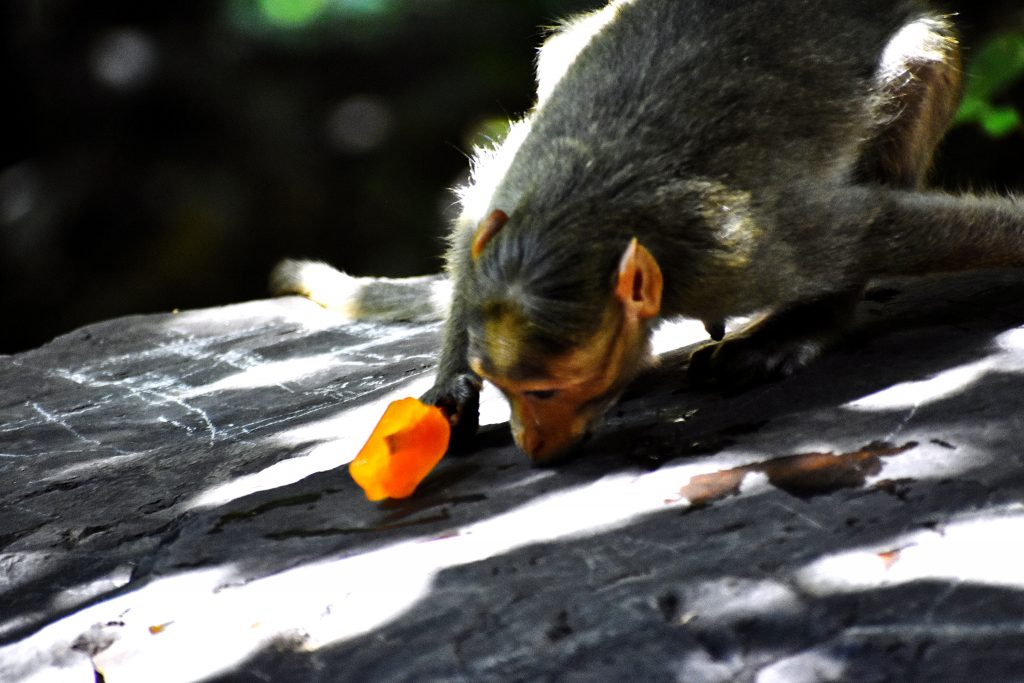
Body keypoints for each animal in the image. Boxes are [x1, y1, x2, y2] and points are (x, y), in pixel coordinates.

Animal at [275, 0, 1024, 464]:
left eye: (544, 392)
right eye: (505, 386)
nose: (528, 442)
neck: (597, 216)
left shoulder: (738, 251)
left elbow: (885, 228)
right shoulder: (509, 199)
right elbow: (470, 236)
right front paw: (452, 387)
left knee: (916, 60)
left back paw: (803, 324)